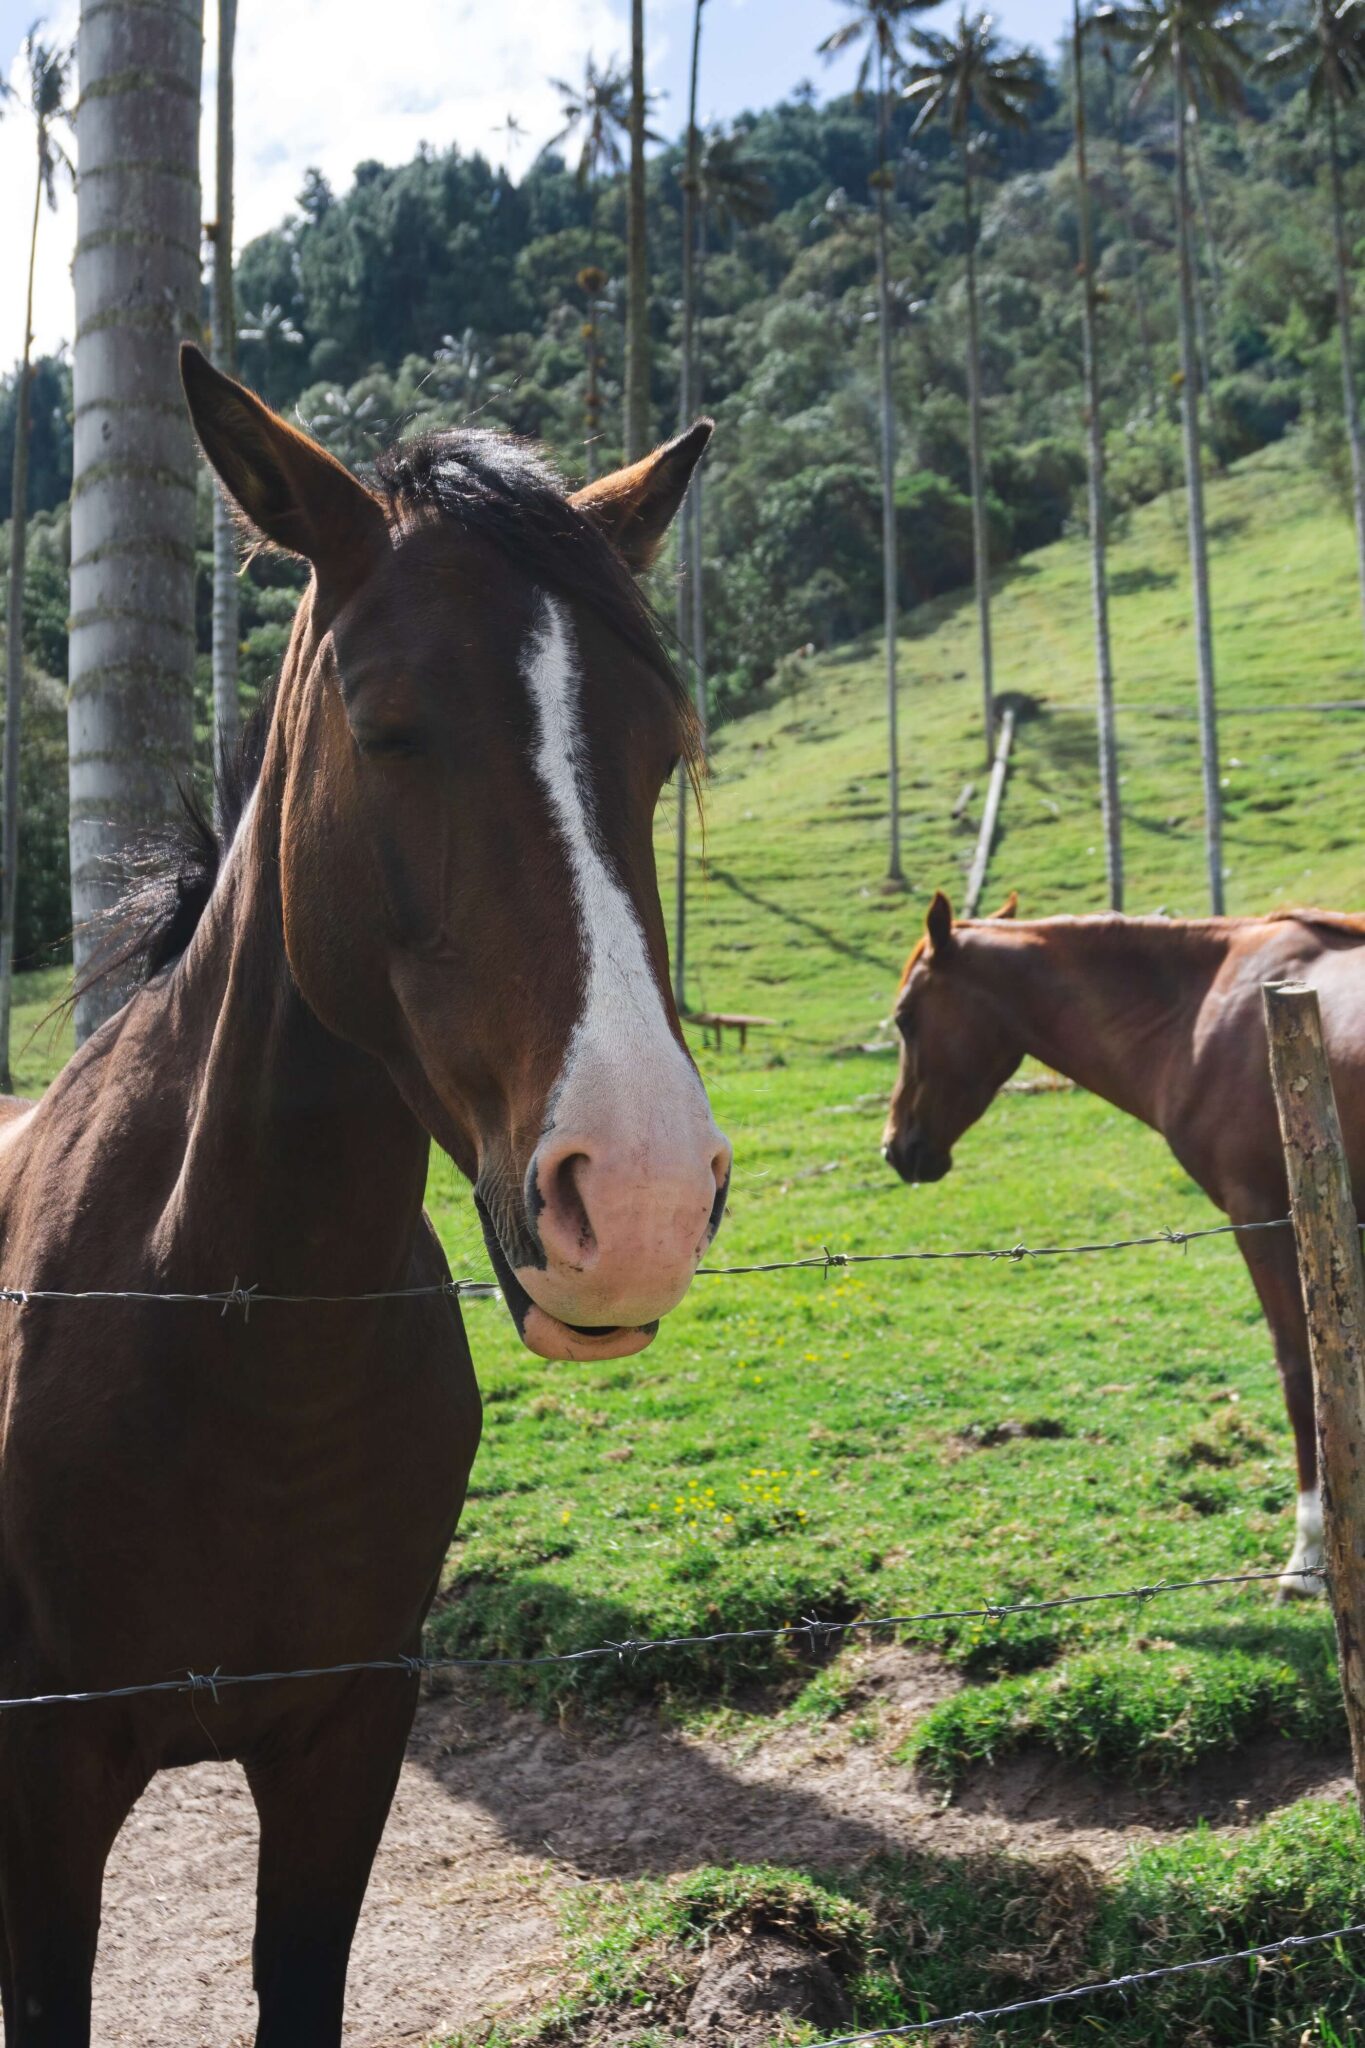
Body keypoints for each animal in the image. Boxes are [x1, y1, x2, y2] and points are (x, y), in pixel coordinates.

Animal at [0, 345, 731, 2046]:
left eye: (659, 748)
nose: (642, 1198)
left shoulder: (348, 1741)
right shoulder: (50, 1772)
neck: (231, 1324)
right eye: (389, 726)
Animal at [882, 891, 1365, 1596]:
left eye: (906, 1018)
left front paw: (1308, 1556)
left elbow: (1300, 1373)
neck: (1197, 1011)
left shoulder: (1264, 1221)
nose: (896, 1148)